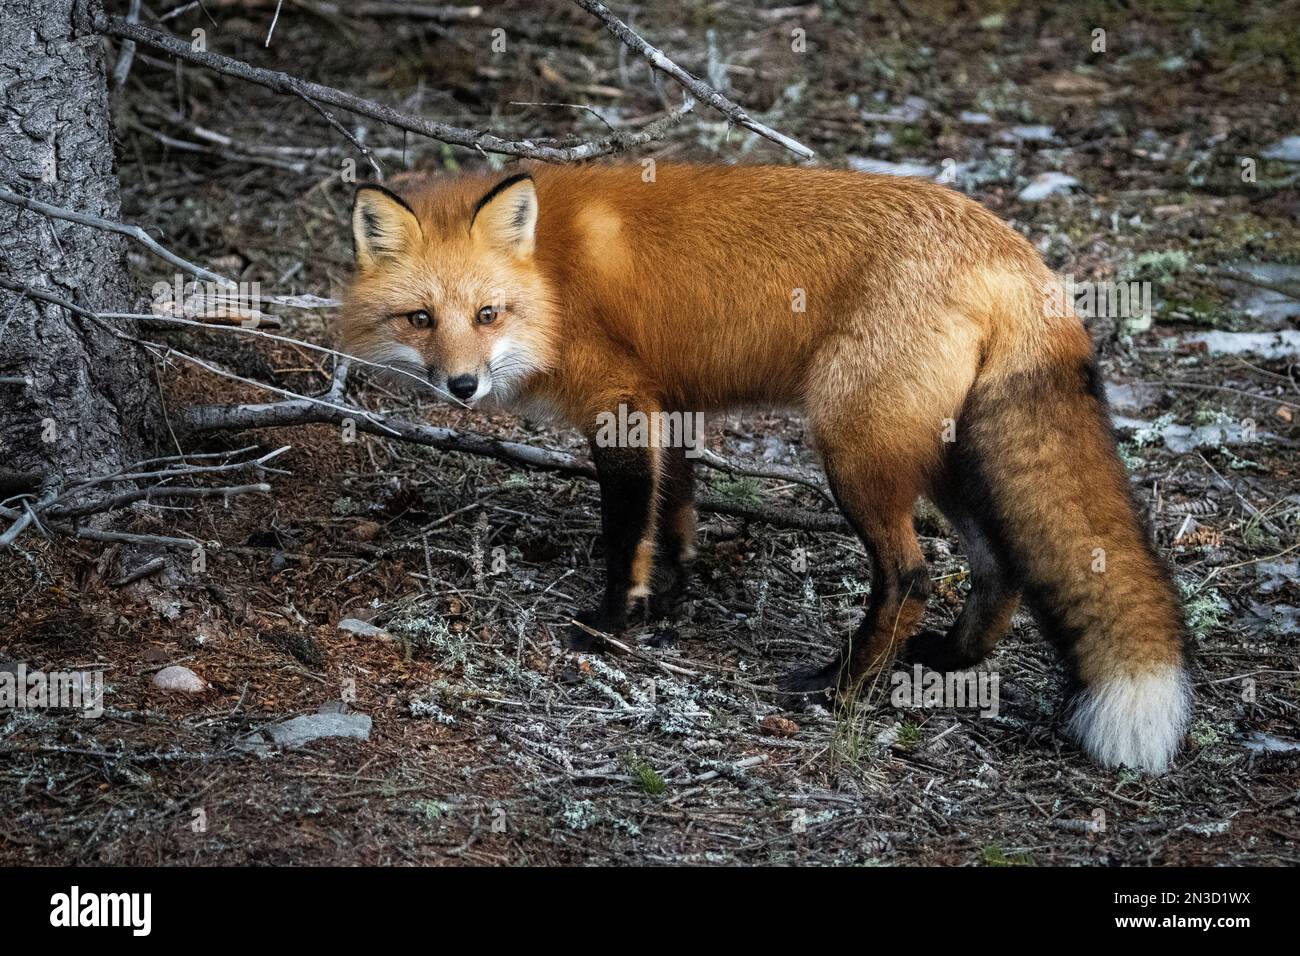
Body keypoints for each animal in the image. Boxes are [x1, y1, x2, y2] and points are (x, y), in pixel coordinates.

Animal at [338, 162, 1192, 773]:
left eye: (488, 315)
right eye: (420, 319)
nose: (461, 386)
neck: (552, 277)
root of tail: (1013, 247)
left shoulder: (621, 404)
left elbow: (627, 529)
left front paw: (613, 622)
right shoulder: (671, 403)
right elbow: (676, 511)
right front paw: (674, 592)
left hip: (854, 451)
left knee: (912, 574)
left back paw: (843, 689)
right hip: (944, 455)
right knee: (998, 565)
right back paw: (945, 659)